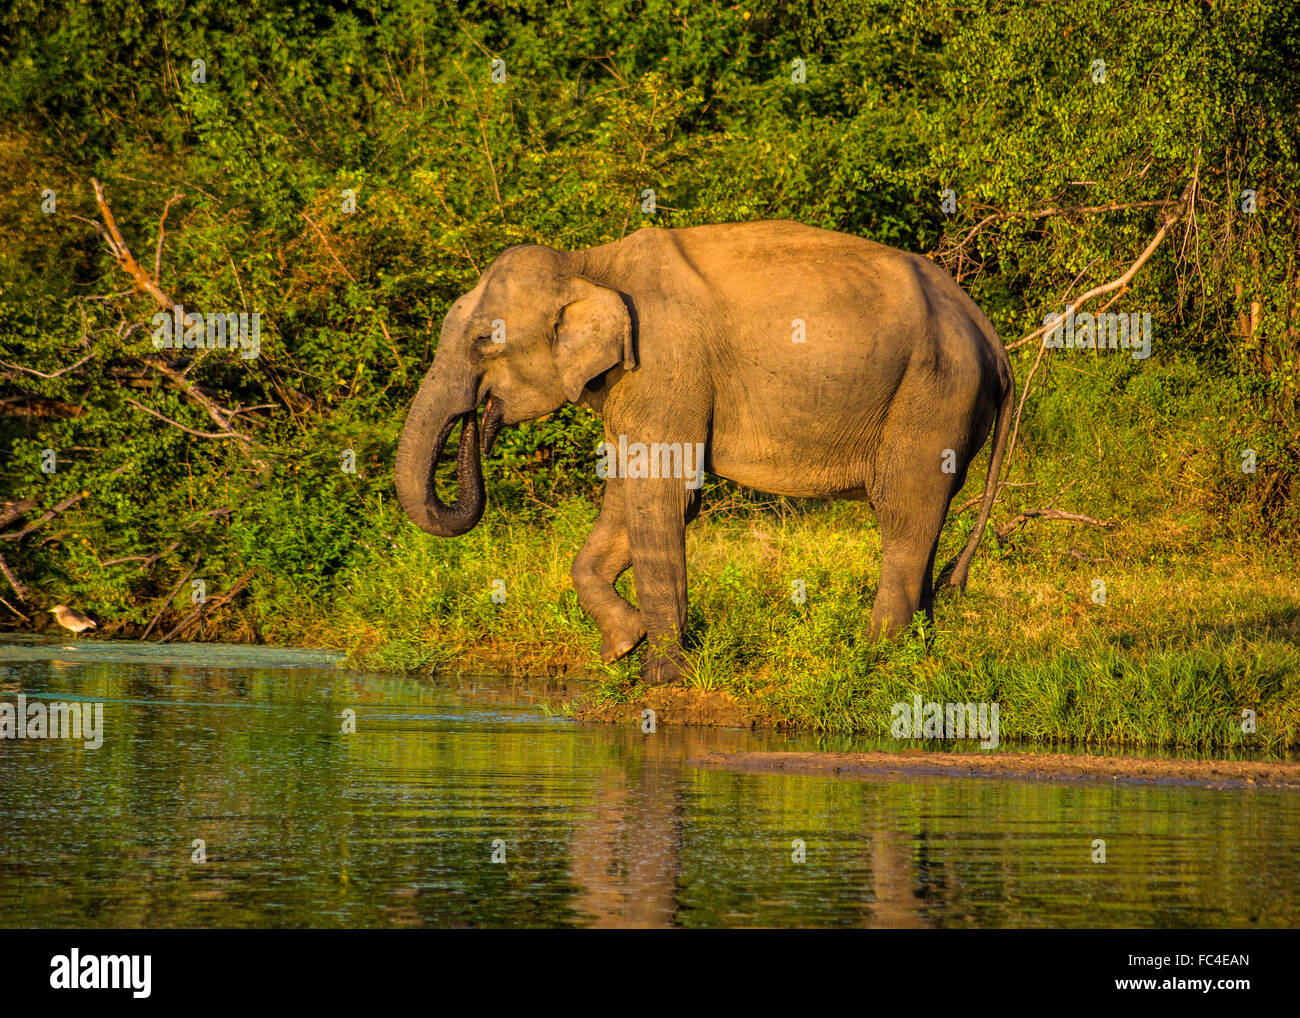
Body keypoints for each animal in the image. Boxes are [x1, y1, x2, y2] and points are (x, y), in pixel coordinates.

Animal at [395, 220, 1014, 685]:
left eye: (485, 341)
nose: (482, 420)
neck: (590, 263)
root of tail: (991, 335)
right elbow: (633, 497)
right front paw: (622, 645)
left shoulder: (667, 363)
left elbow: (661, 498)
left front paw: (660, 675)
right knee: (926, 520)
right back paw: (917, 653)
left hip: (933, 396)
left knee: (906, 514)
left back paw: (874, 660)